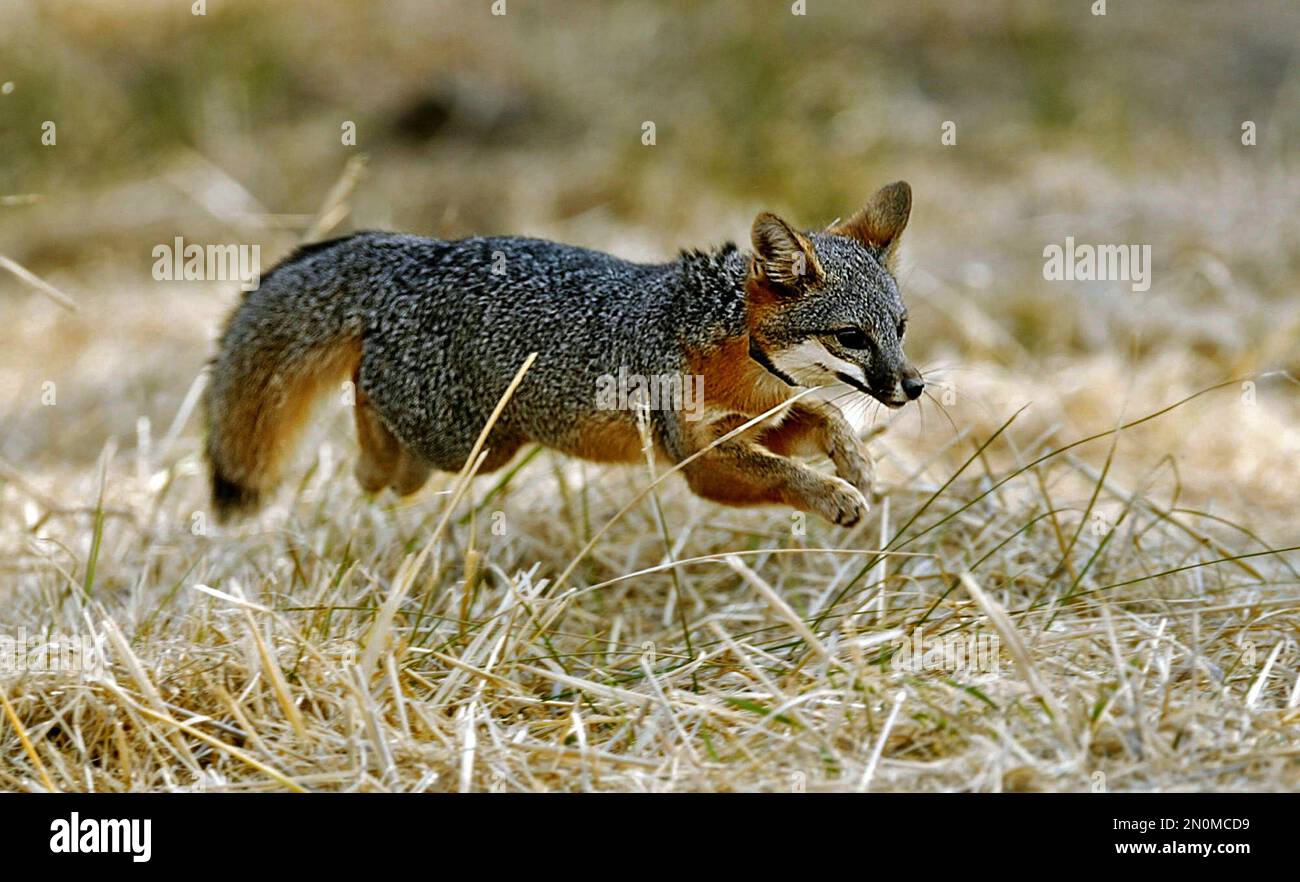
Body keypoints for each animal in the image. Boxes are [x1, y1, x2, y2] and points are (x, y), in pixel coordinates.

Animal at [205, 181, 924, 527]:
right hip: (466, 445)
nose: (915, 387)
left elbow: (826, 416)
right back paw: (365, 469)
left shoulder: (759, 421)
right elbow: (781, 471)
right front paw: (832, 494)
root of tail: (414, 254)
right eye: (852, 337)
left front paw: (857, 466)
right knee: (373, 424)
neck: (739, 359)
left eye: (900, 327)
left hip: (478, 449)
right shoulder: (696, 458)